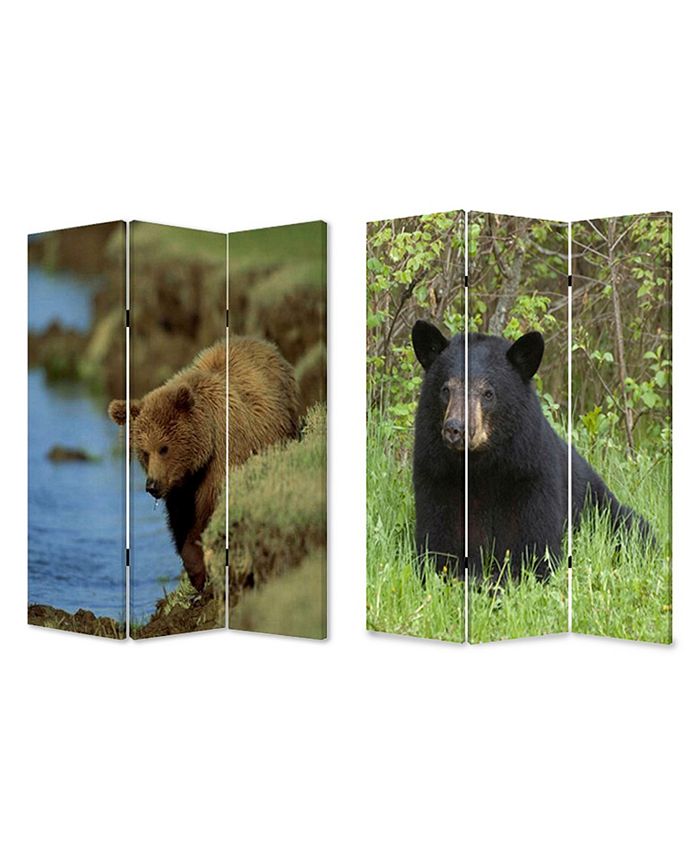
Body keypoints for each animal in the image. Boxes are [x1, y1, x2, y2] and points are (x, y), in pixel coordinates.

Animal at [108, 337, 300, 592]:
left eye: (164, 448)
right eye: (144, 452)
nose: (152, 485)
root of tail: (265, 344)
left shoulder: (222, 460)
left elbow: (208, 512)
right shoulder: (180, 488)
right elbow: (182, 522)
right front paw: (196, 572)